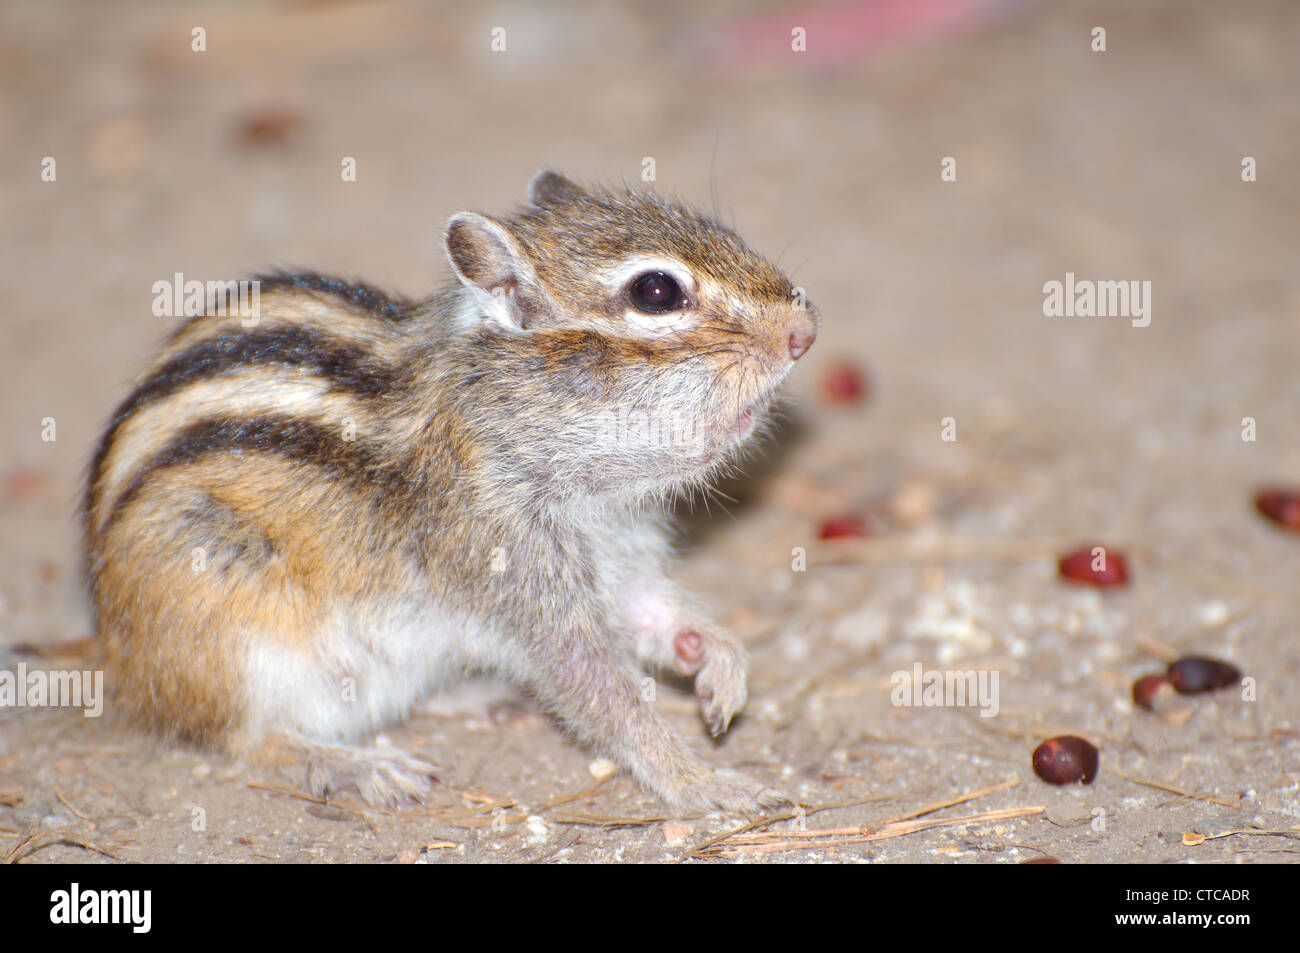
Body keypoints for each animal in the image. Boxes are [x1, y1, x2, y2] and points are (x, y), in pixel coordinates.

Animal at [82, 171, 818, 813]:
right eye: (658, 292)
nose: (805, 332)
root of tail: (119, 659)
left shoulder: (620, 553)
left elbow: (653, 614)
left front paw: (717, 663)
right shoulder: (511, 564)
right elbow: (600, 692)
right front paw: (702, 782)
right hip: (226, 624)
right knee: (246, 738)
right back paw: (359, 764)